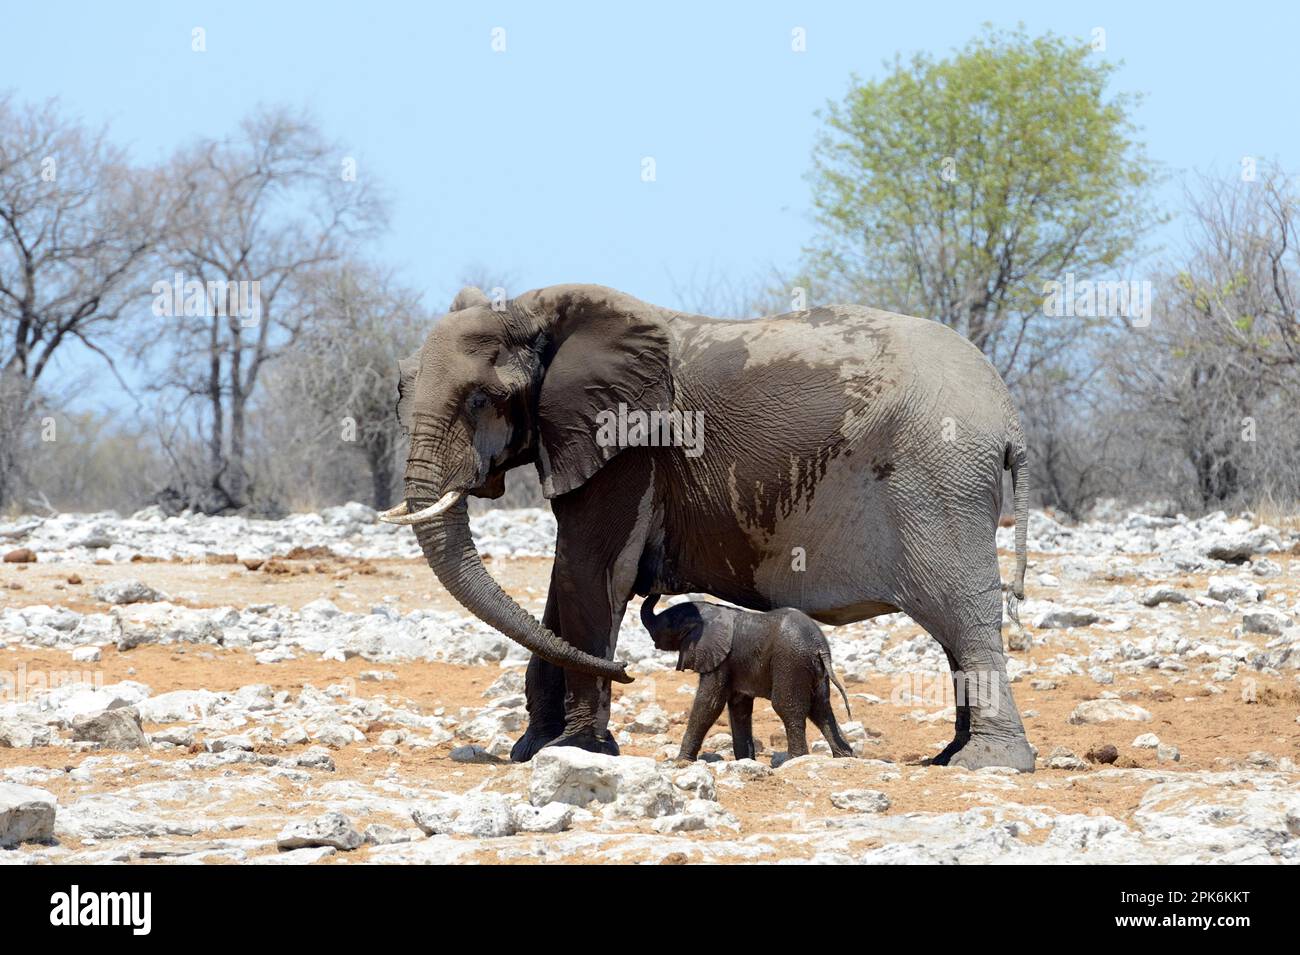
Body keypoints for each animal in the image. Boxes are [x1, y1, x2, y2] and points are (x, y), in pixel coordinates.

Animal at [639, 594, 854, 762]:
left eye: (667, 624)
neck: (712, 611)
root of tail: (820, 647)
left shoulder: (720, 659)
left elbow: (710, 703)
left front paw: (680, 761)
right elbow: (739, 707)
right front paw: (745, 761)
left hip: (791, 663)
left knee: (788, 707)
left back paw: (796, 760)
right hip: (814, 670)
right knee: (821, 708)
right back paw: (846, 757)